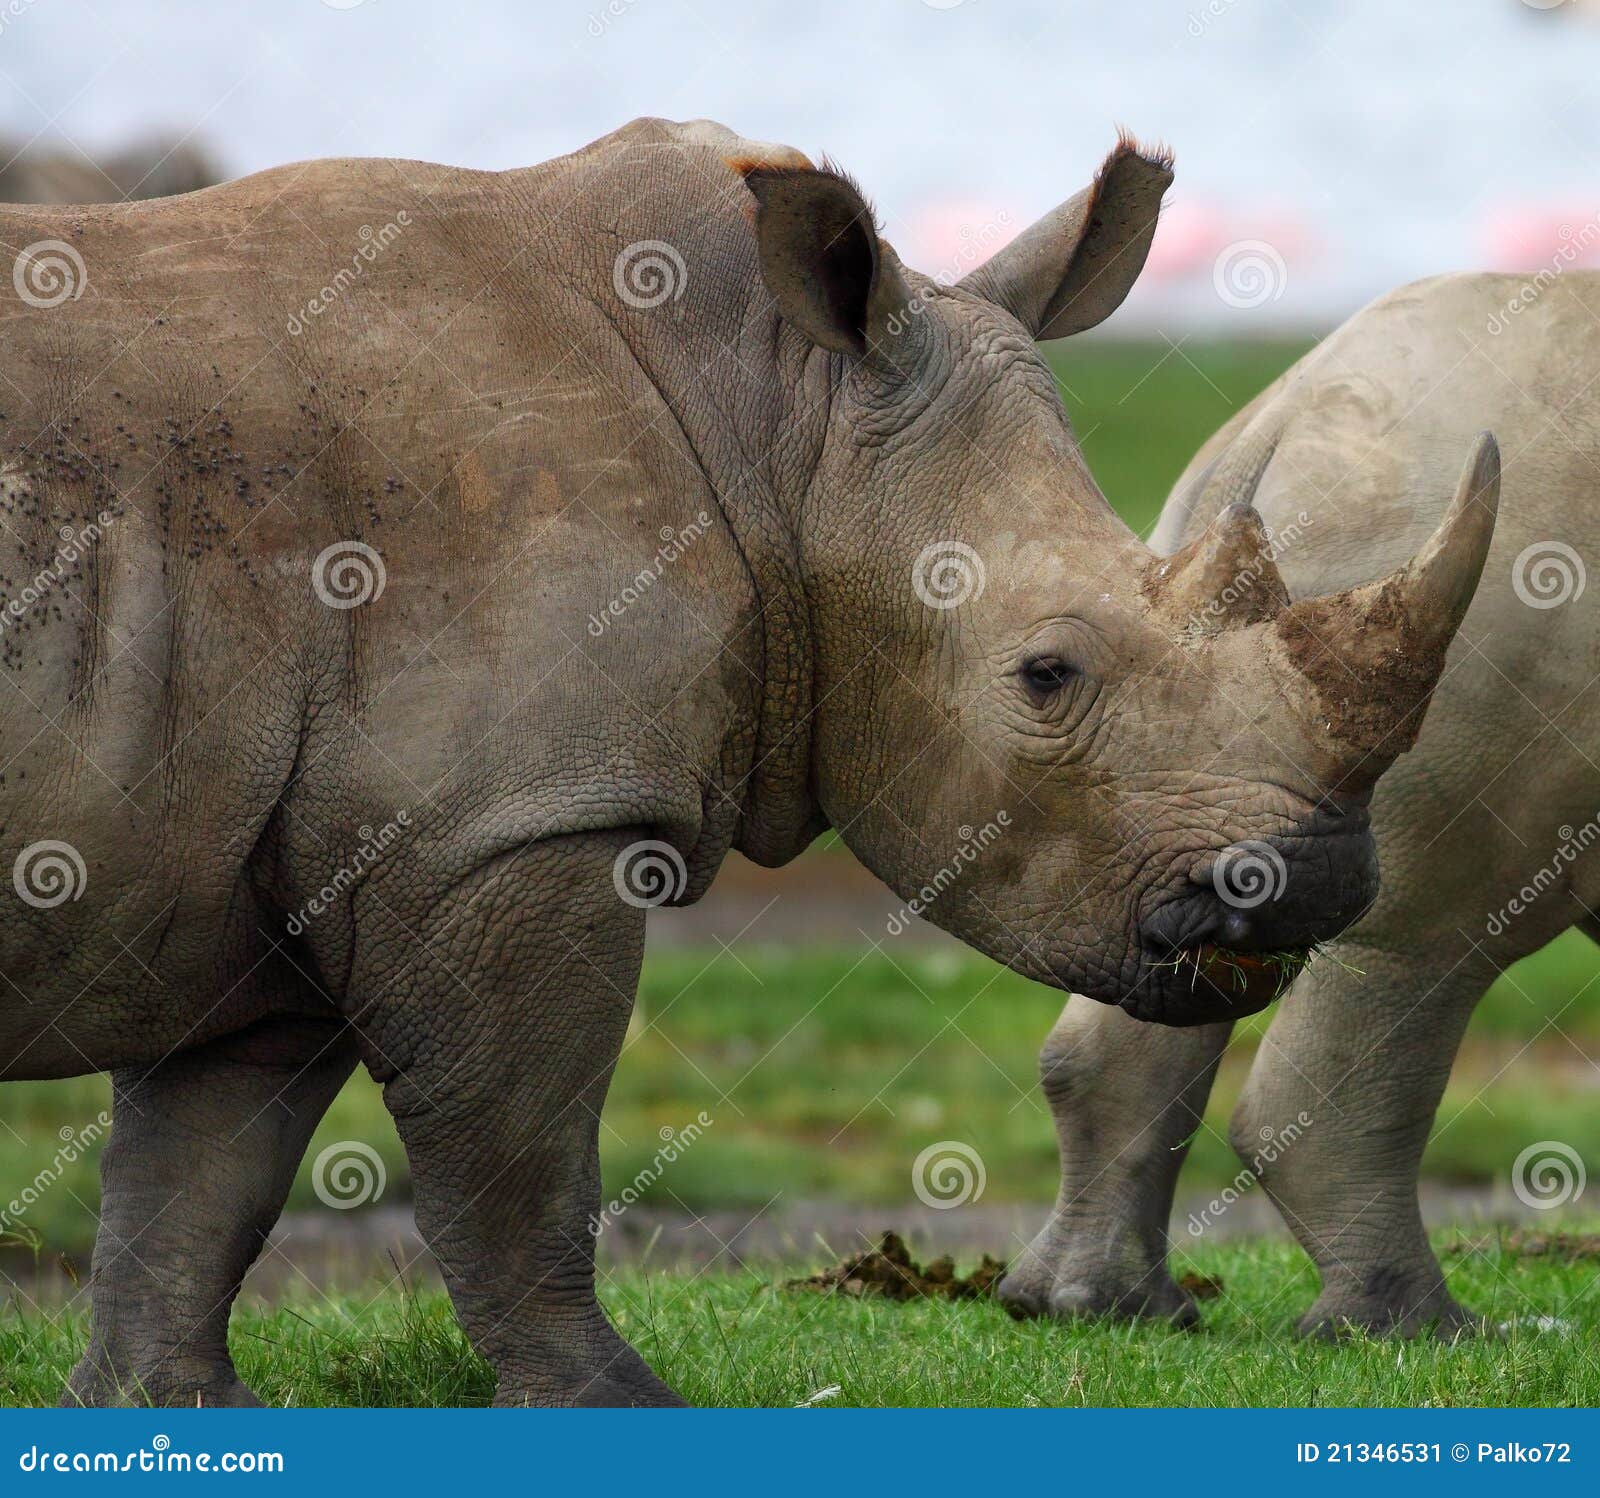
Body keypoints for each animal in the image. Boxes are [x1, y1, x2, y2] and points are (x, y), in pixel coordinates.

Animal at [0, 120, 1496, 1407]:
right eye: (1046, 675)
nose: (1305, 885)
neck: (780, 416)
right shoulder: (505, 819)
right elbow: (516, 1145)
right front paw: (613, 1404)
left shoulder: (289, 843)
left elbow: (202, 1173)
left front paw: (162, 1408)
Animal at [1002, 270, 1595, 1337]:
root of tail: (1295, 408)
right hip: (1514, 578)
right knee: (1419, 942)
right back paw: (1415, 1332)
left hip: (1186, 571)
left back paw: (1101, 1310)